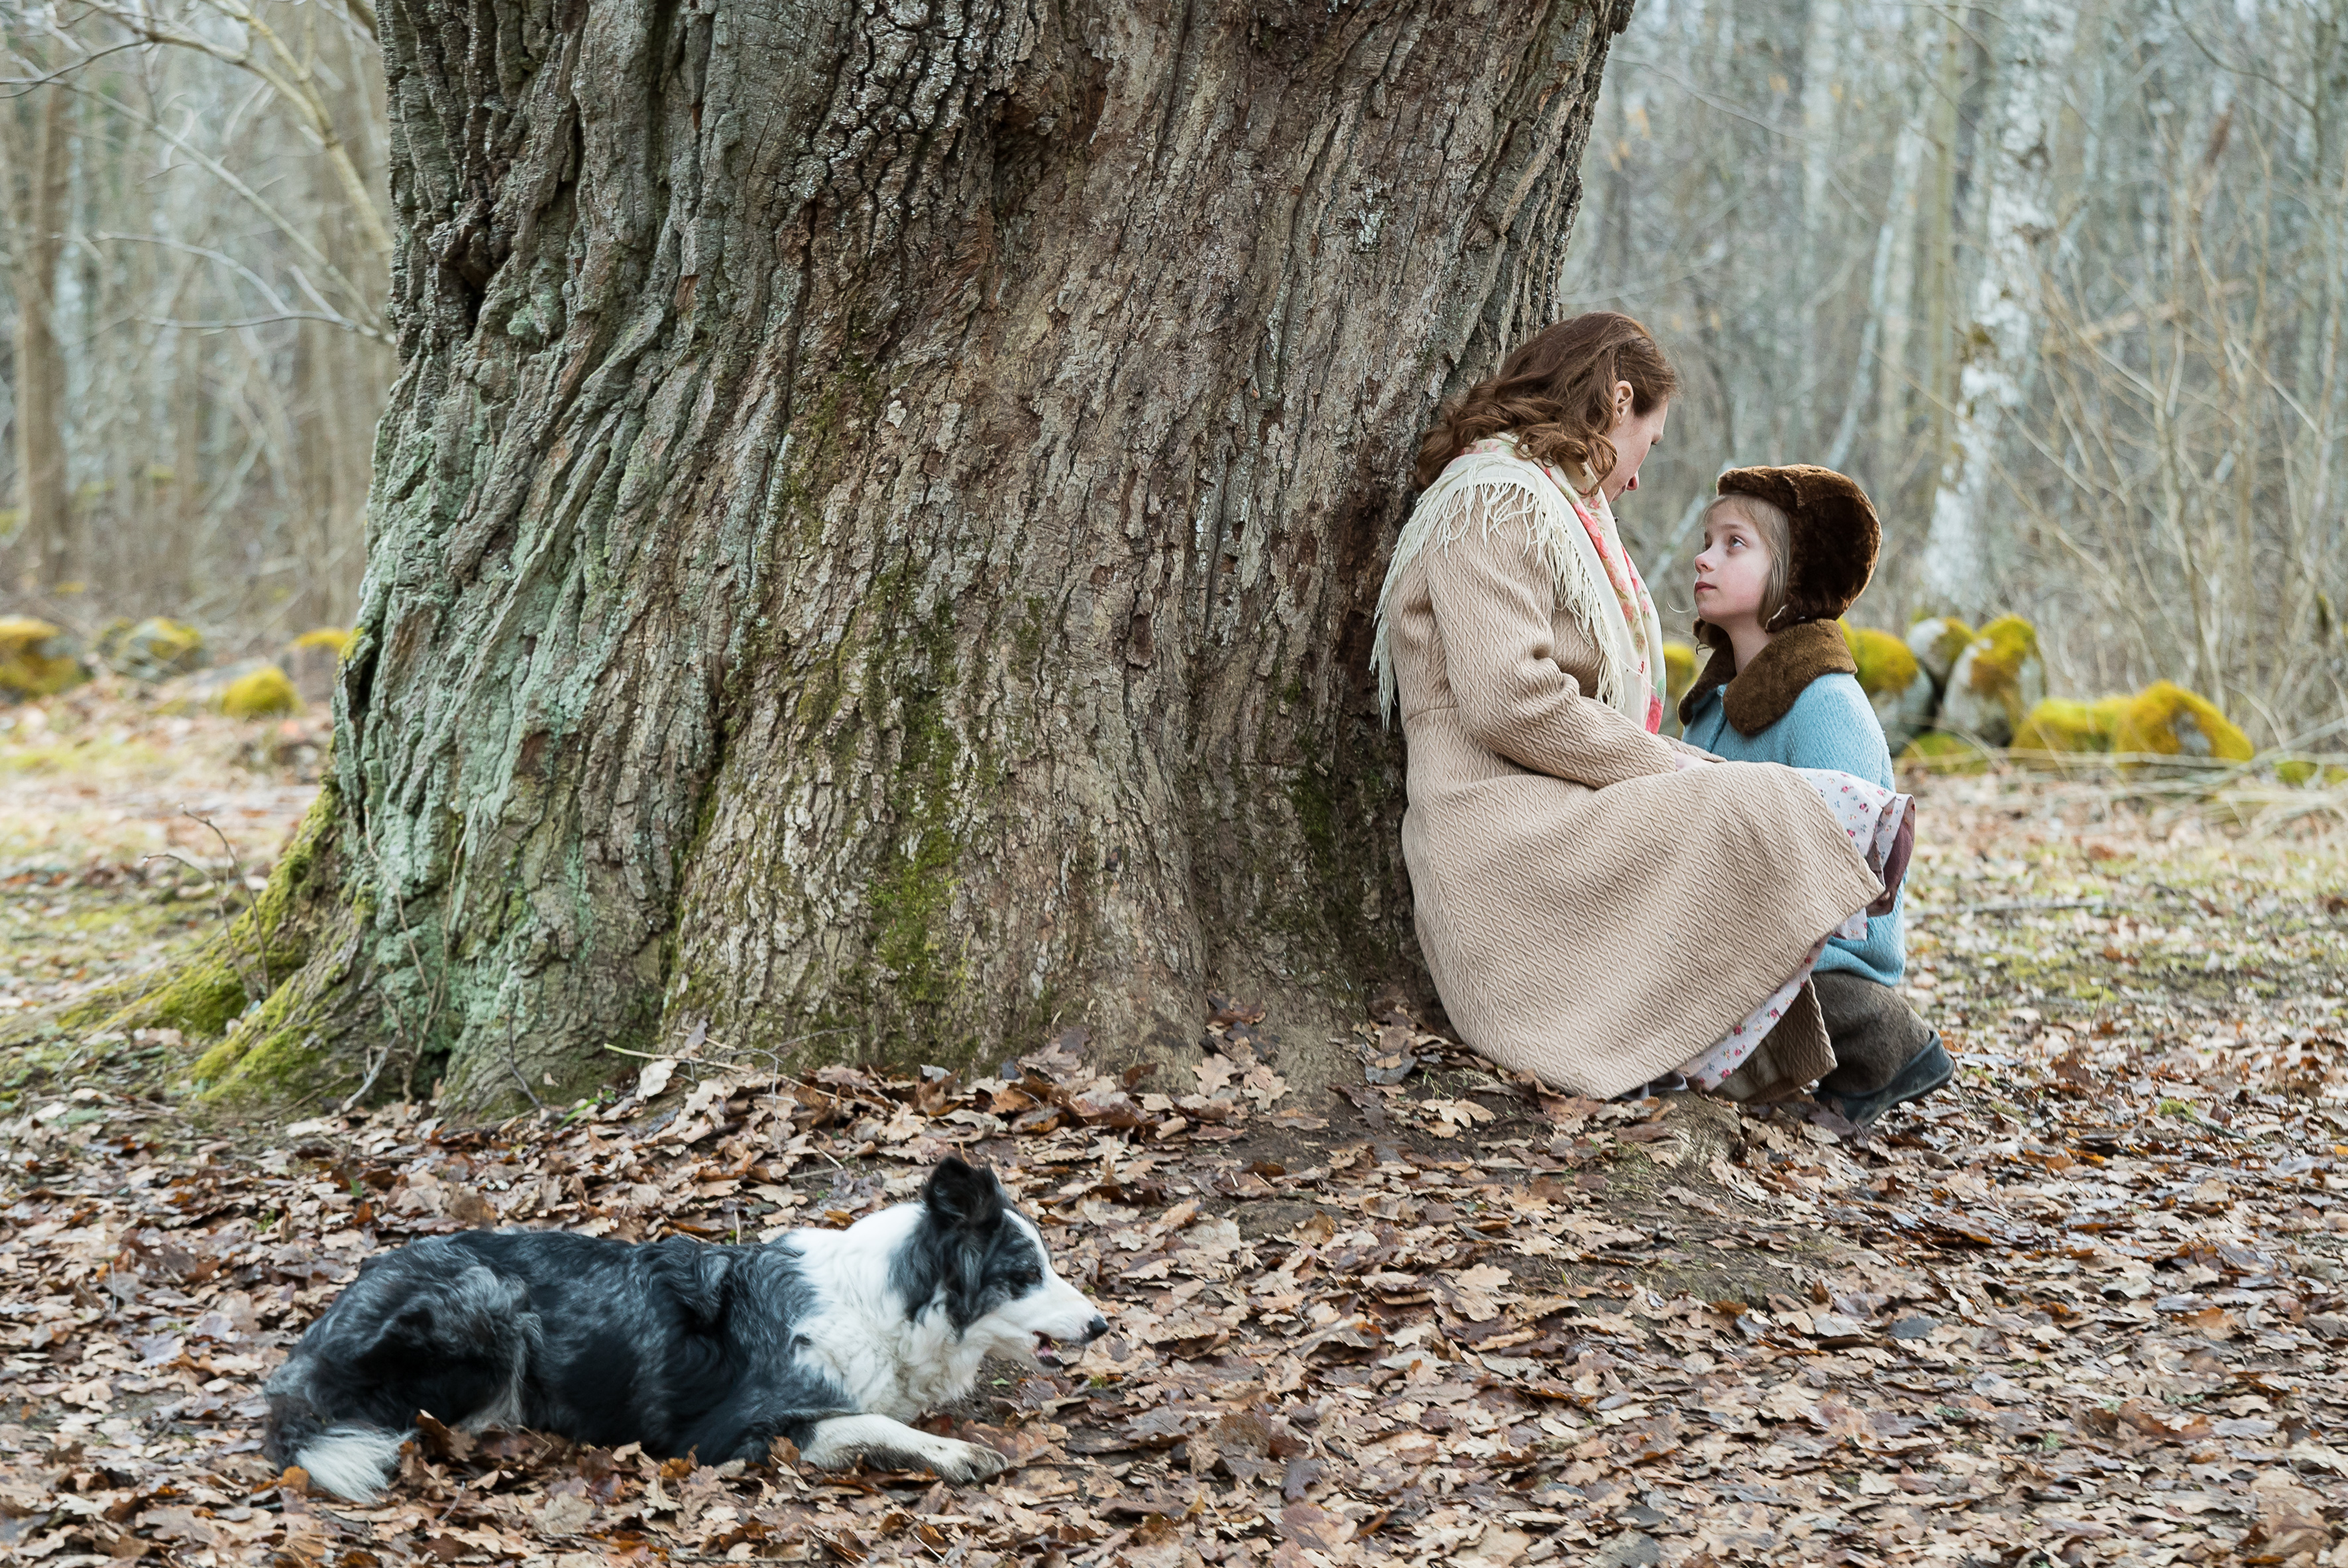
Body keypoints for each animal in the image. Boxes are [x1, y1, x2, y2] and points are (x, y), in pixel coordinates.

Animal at [262, 1159, 1103, 1502]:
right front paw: (955, 1451)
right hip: (487, 1297)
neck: (889, 1302)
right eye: (1026, 1271)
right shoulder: (735, 1430)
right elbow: (872, 1421)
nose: (1100, 1322)